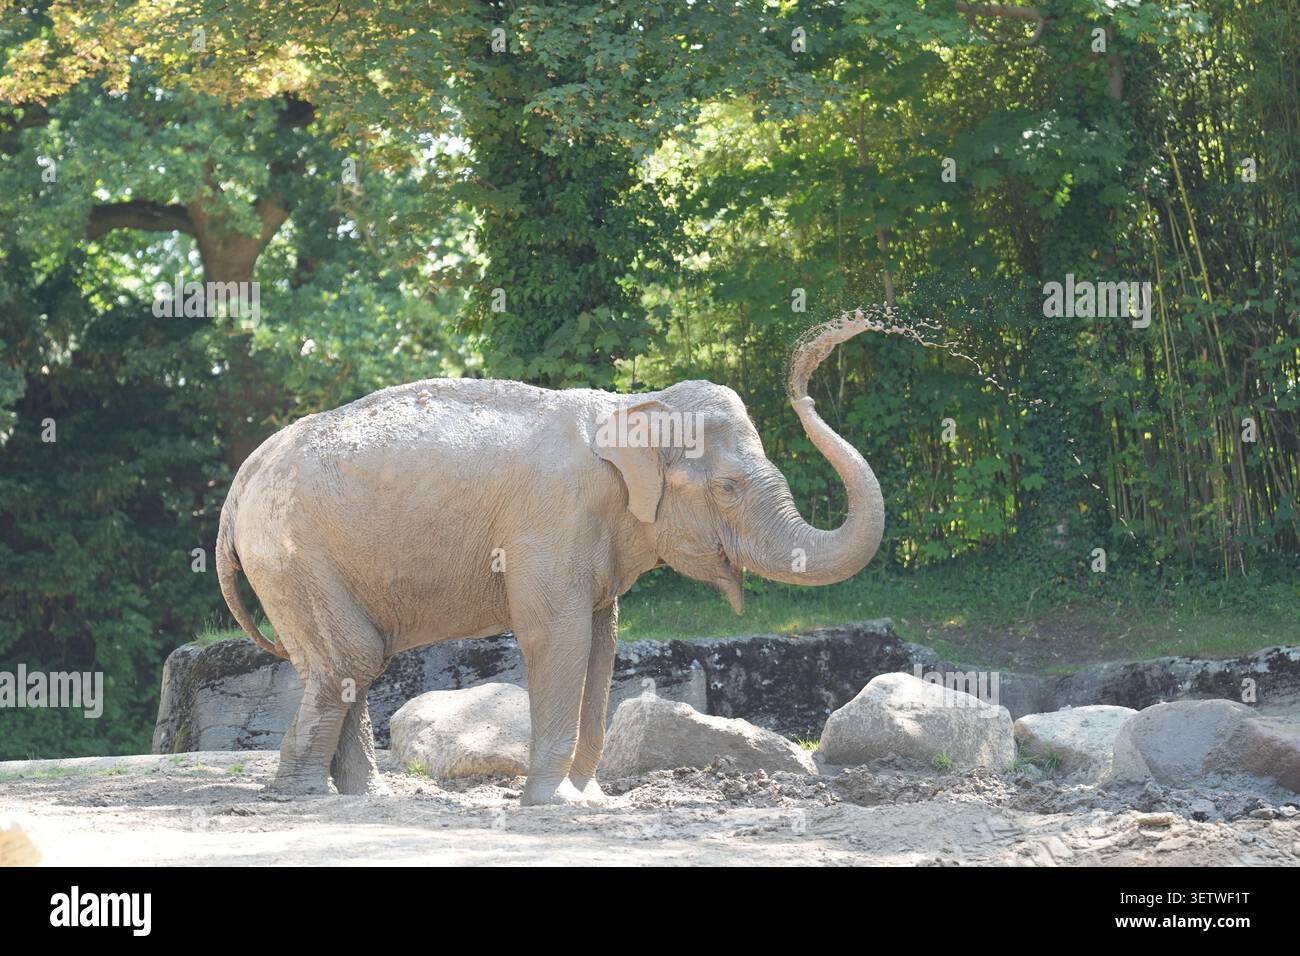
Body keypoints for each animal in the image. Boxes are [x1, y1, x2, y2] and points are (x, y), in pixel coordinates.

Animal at [216, 313, 884, 805]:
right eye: (727, 488)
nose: (834, 339)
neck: (631, 409)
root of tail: (243, 478)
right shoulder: (554, 517)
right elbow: (556, 634)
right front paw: (553, 803)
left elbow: (601, 642)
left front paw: (586, 801)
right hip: (292, 551)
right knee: (350, 657)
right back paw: (301, 795)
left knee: (350, 658)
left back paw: (364, 796)